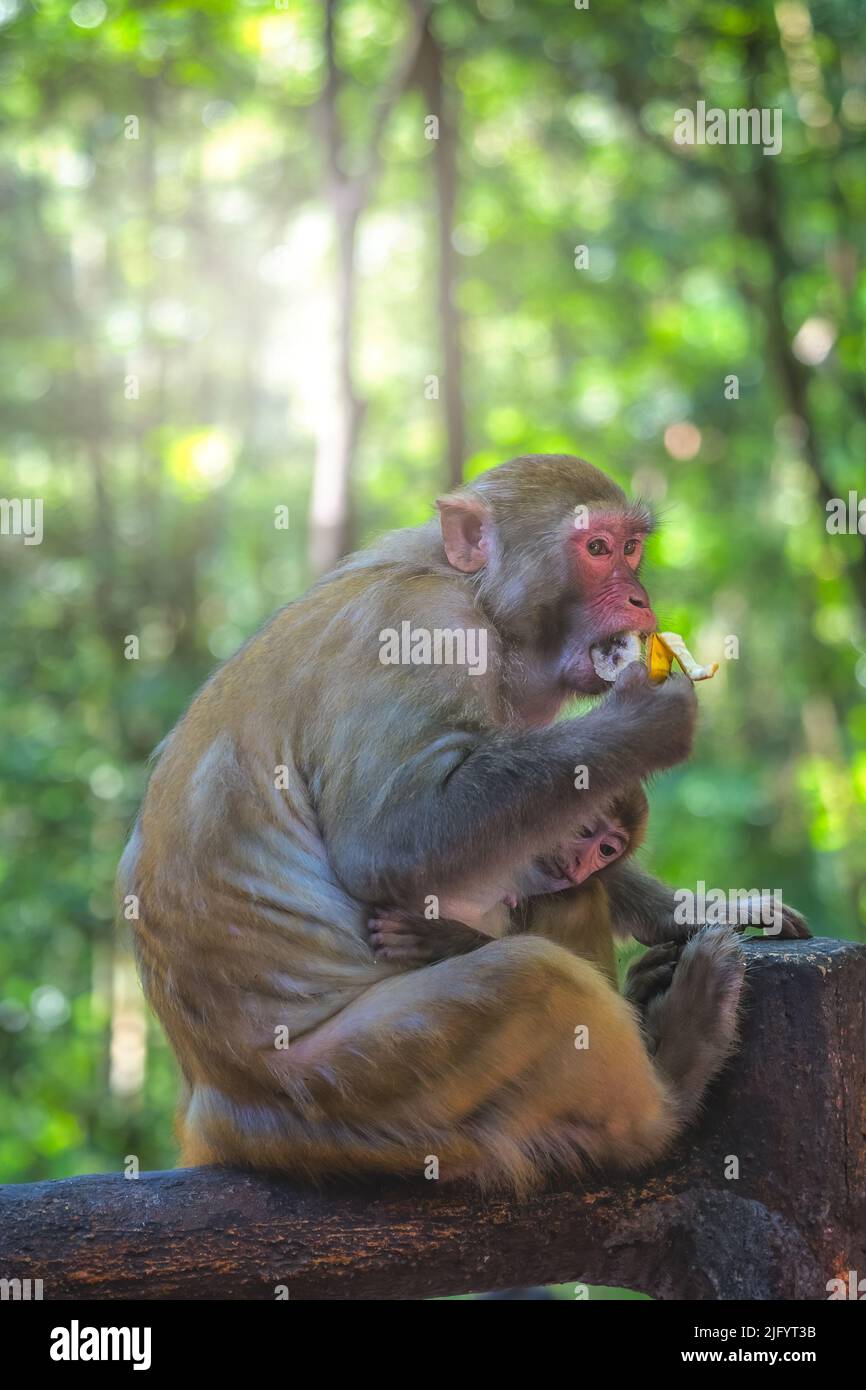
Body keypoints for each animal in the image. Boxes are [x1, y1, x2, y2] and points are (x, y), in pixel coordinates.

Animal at [120, 453, 805, 1196]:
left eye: (631, 548)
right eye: (596, 549)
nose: (640, 602)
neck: (472, 592)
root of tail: (220, 1112)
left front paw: (705, 907)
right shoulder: (426, 631)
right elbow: (386, 843)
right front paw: (646, 721)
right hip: (350, 1086)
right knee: (534, 981)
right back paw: (675, 1077)